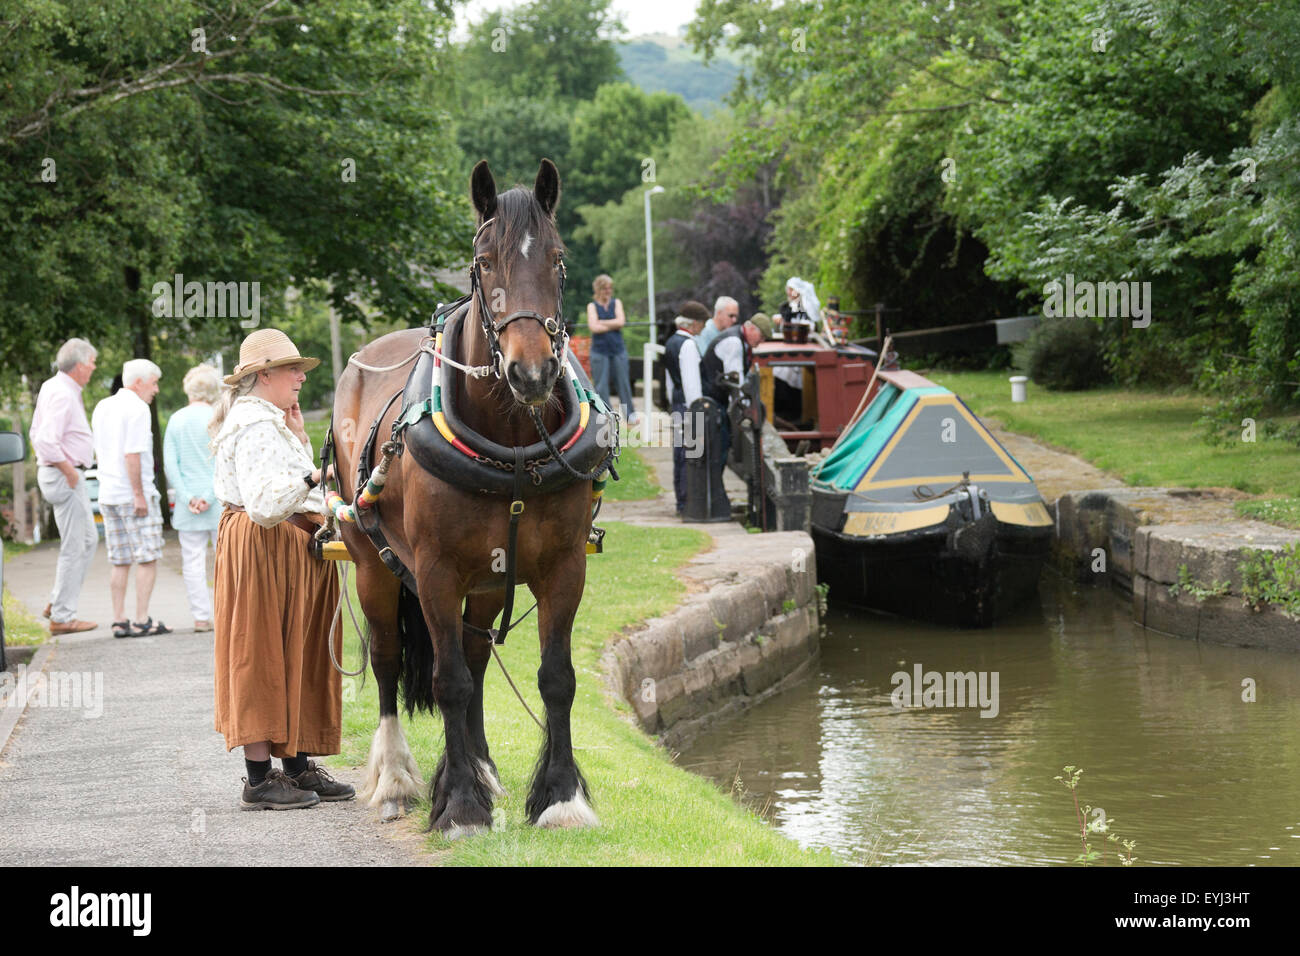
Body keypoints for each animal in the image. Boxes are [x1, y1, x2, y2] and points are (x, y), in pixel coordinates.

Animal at [330, 159, 608, 835]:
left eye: (558, 259)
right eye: (484, 262)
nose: (531, 373)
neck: (512, 443)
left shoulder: (563, 567)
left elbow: (555, 679)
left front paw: (560, 797)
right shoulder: (434, 570)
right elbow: (448, 679)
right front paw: (458, 805)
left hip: (487, 580)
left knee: (480, 660)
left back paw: (481, 769)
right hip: (374, 566)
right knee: (387, 660)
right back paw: (397, 780)